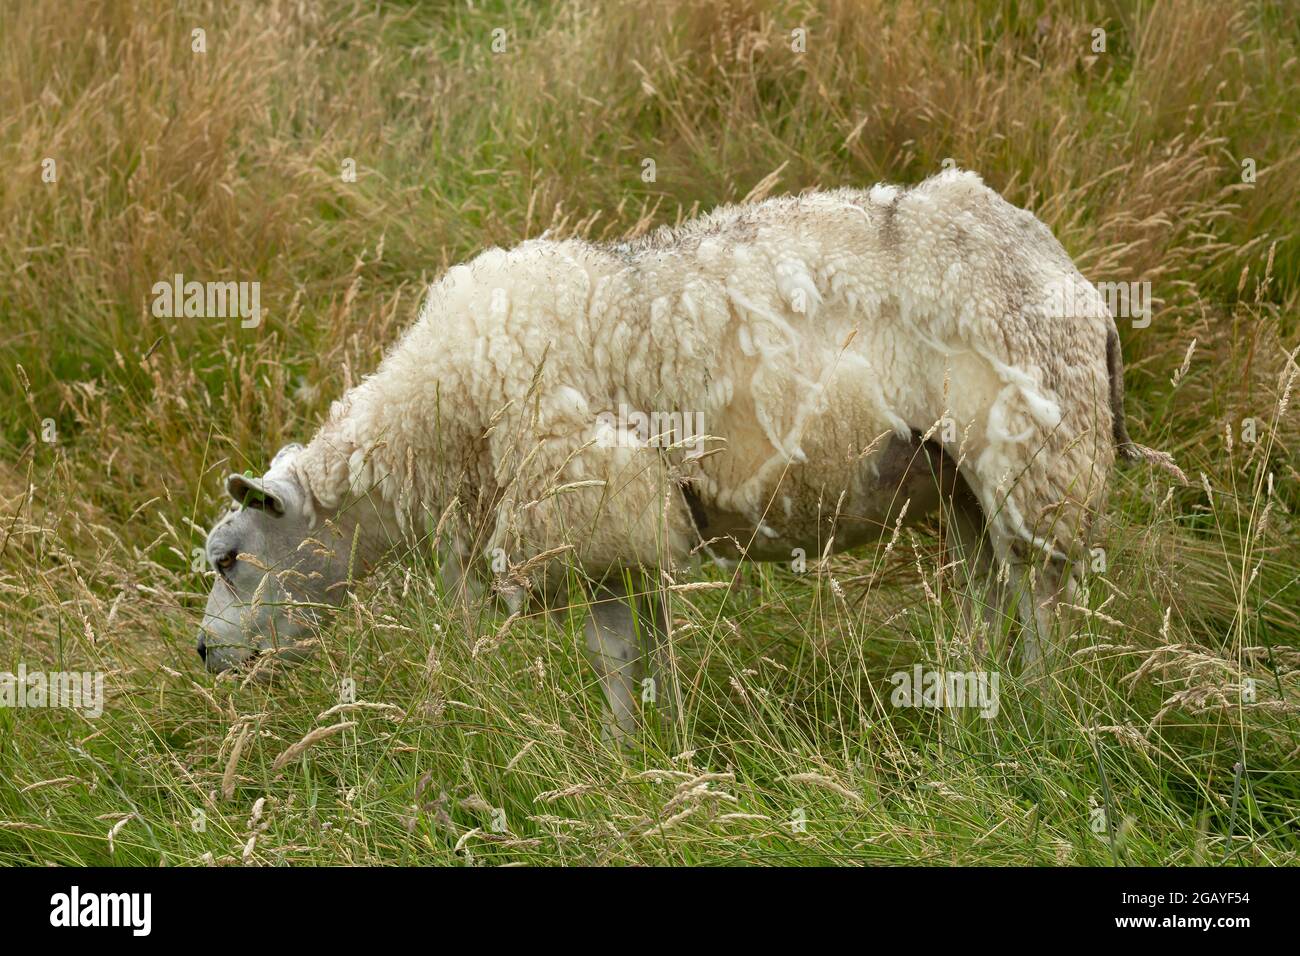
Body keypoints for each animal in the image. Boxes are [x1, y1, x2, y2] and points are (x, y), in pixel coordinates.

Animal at [198, 168, 1183, 740]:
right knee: (990, 590)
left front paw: (618, 755)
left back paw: (1038, 713)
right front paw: (657, 749)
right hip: (966, 478)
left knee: (1041, 596)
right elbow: (649, 647)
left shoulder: (587, 509)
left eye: (230, 559)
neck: (439, 421)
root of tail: (1068, 272)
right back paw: (975, 703)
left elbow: (613, 656)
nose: (206, 658)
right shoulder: (631, 522)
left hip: (1034, 452)